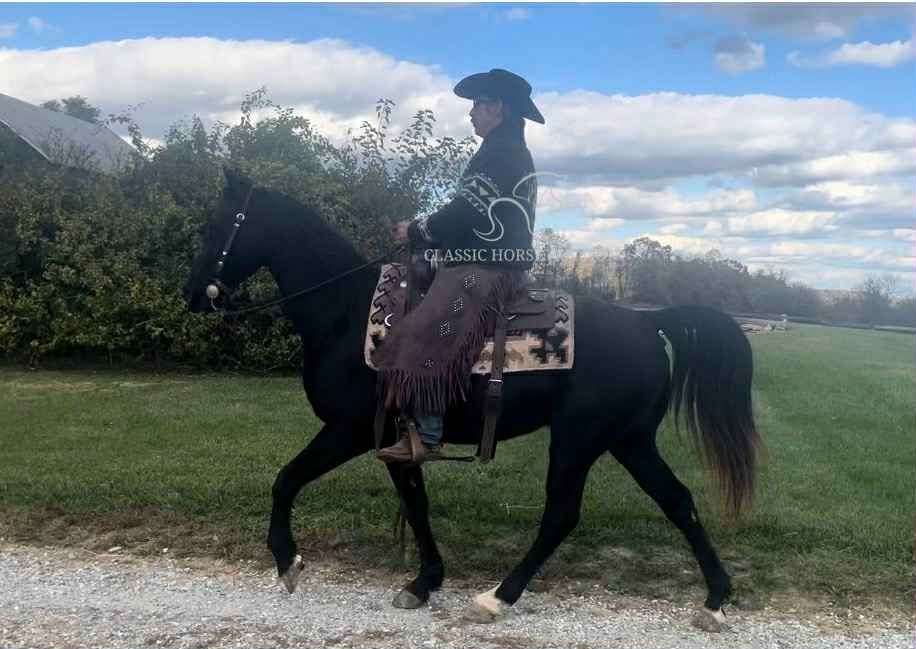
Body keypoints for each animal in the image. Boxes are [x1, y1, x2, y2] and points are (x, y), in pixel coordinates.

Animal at [183, 168, 759, 629]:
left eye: (217, 225)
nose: (192, 294)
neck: (345, 314)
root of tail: (645, 322)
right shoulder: (397, 441)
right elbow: (416, 505)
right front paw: (423, 582)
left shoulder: (347, 431)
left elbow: (286, 480)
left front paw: (287, 563)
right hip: (630, 440)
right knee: (677, 500)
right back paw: (714, 600)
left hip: (579, 440)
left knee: (562, 514)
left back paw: (498, 597)